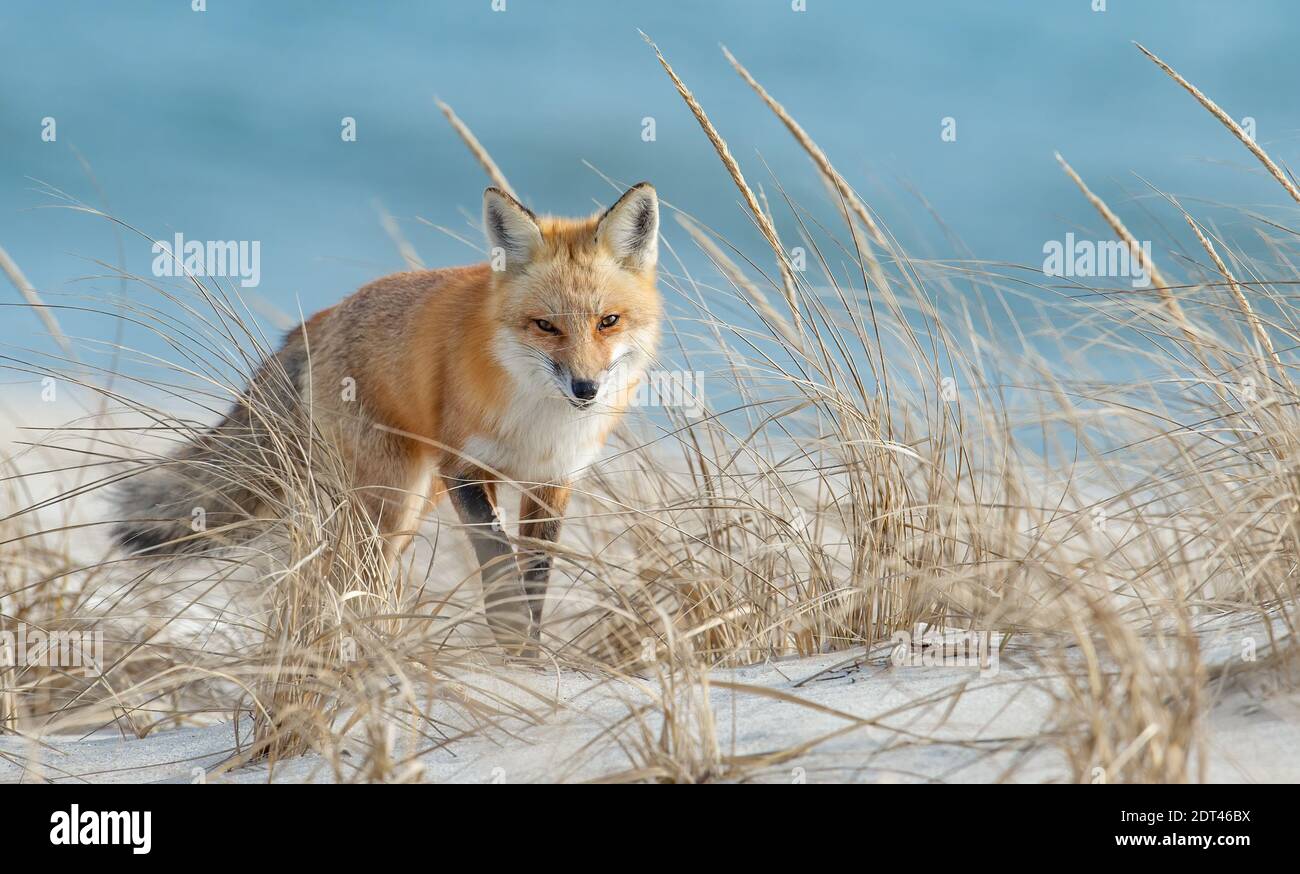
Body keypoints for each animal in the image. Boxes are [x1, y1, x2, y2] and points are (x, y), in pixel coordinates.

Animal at [112, 183, 662, 654]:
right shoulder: (463, 469)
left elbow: (535, 580)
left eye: (608, 321)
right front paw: (509, 635)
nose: (585, 389)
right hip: (391, 501)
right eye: (545, 326)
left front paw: (528, 656)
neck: (538, 420)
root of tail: (323, 317)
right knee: (344, 579)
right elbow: (499, 562)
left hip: (416, 499)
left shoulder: (552, 480)